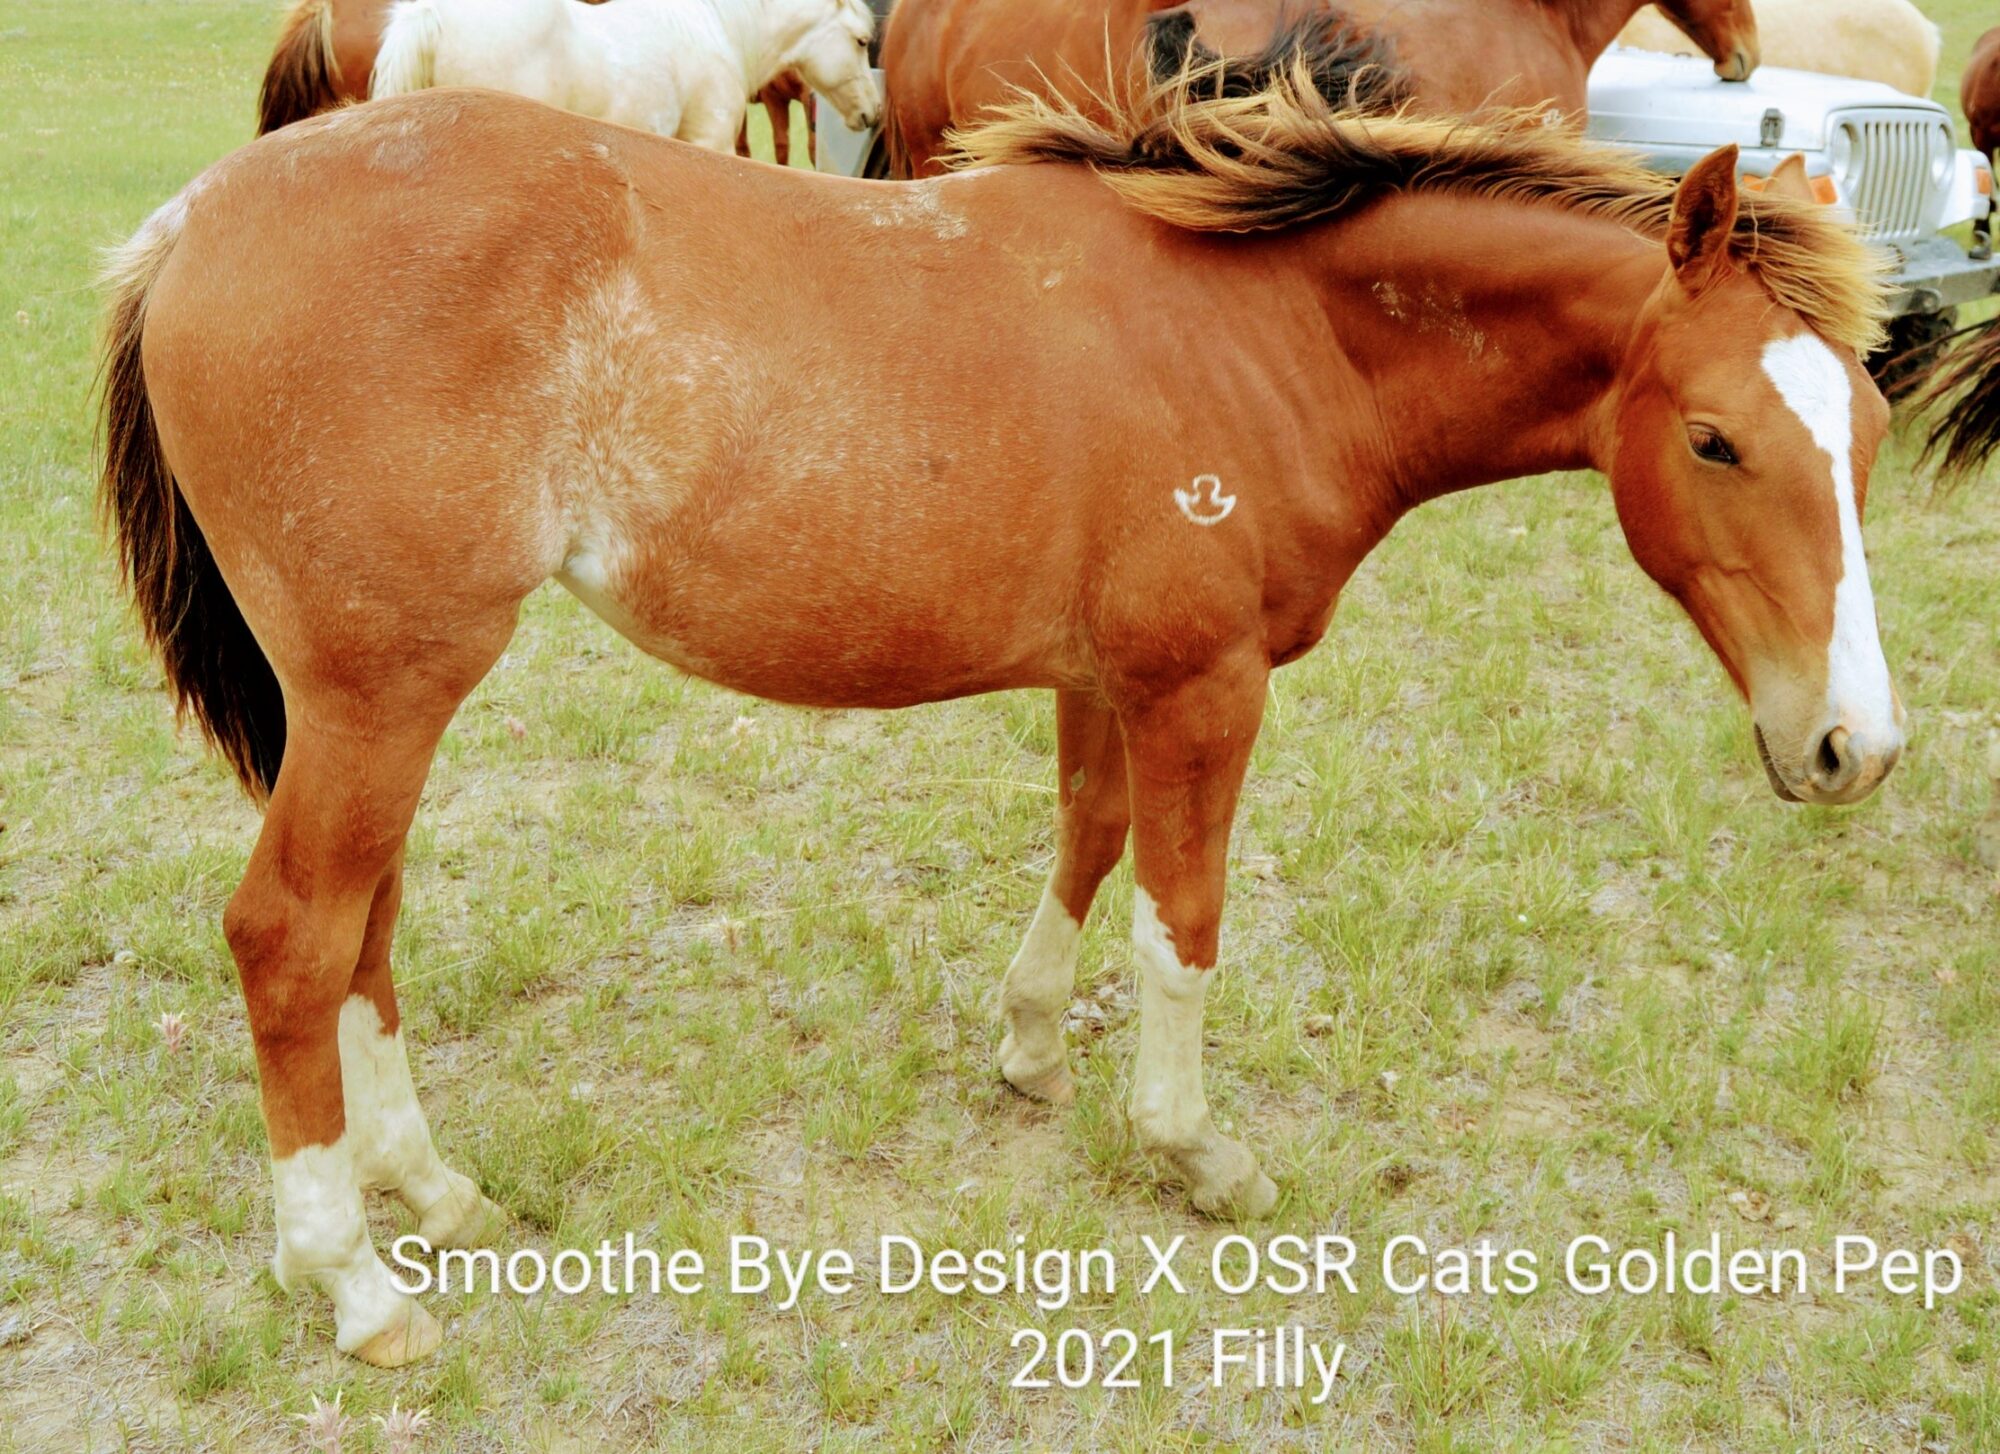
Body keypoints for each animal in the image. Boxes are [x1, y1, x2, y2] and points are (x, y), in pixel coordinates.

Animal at [103, 24, 1969, 1366]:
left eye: (1871, 431)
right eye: (1717, 438)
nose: (1853, 746)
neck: (1257, 327)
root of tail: (193, 220)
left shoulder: (1112, 677)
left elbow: (1085, 839)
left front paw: (1022, 1048)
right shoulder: (1204, 687)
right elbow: (1182, 915)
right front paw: (1194, 1150)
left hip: (377, 705)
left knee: (365, 928)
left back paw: (431, 1187)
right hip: (382, 693)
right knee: (291, 935)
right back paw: (355, 1279)